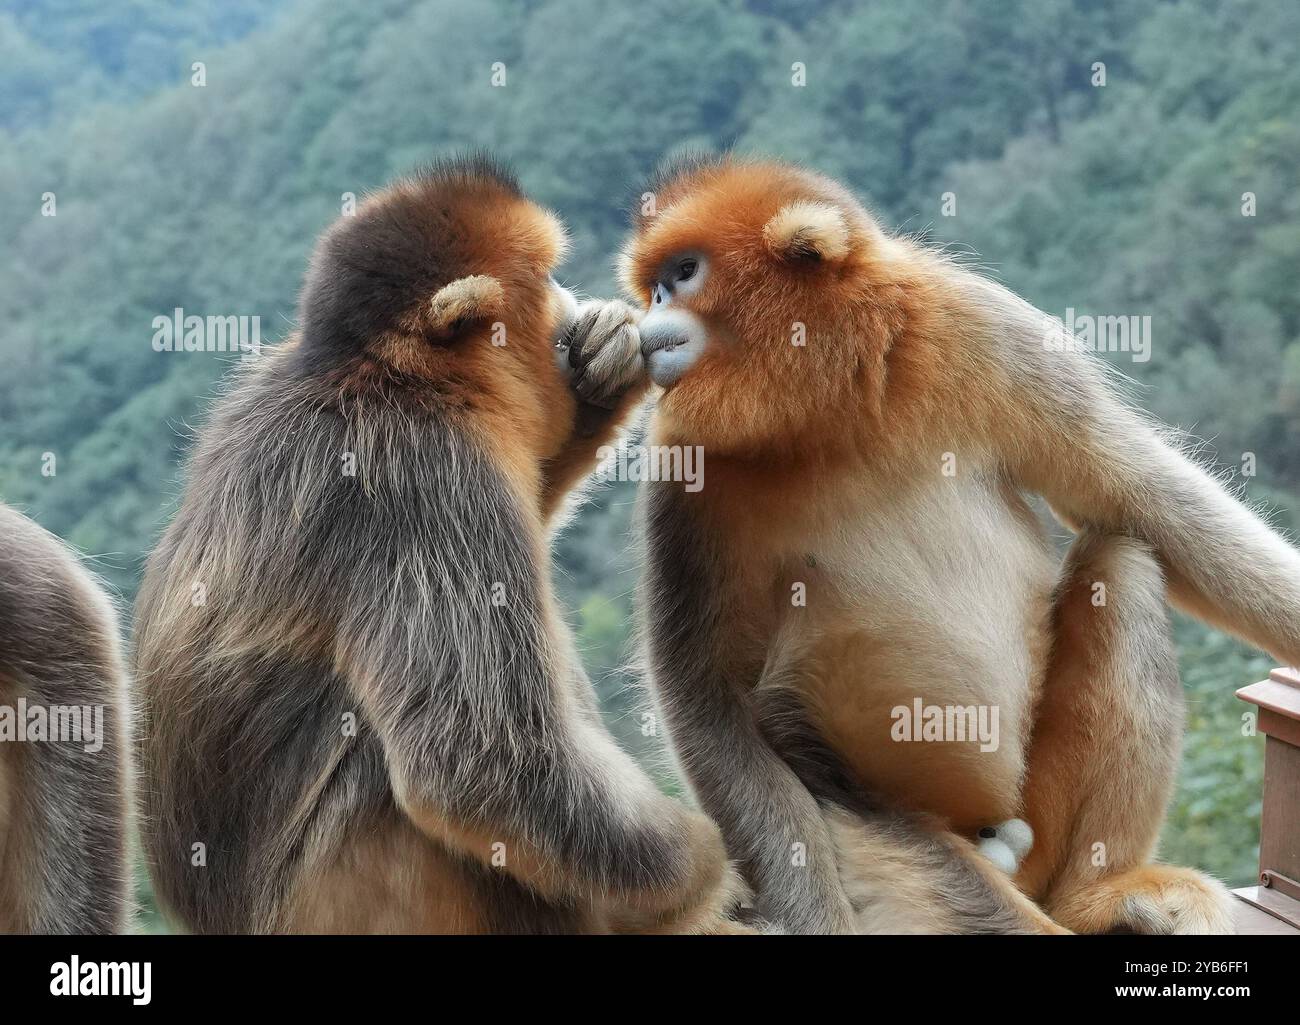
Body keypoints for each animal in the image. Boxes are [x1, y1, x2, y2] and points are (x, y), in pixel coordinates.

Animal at [132, 155, 746, 935]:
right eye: (545, 279)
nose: (567, 302)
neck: (374, 376)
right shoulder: (424, 478)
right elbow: (478, 764)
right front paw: (704, 871)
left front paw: (600, 369)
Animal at [620, 154, 1295, 934]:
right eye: (656, 283)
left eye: (684, 273)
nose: (650, 312)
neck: (828, 404)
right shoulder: (682, 464)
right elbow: (706, 695)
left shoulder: (986, 330)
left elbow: (1144, 498)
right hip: (881, 821)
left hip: (1035, 817)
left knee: (1122, 564)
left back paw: (1097, 892)